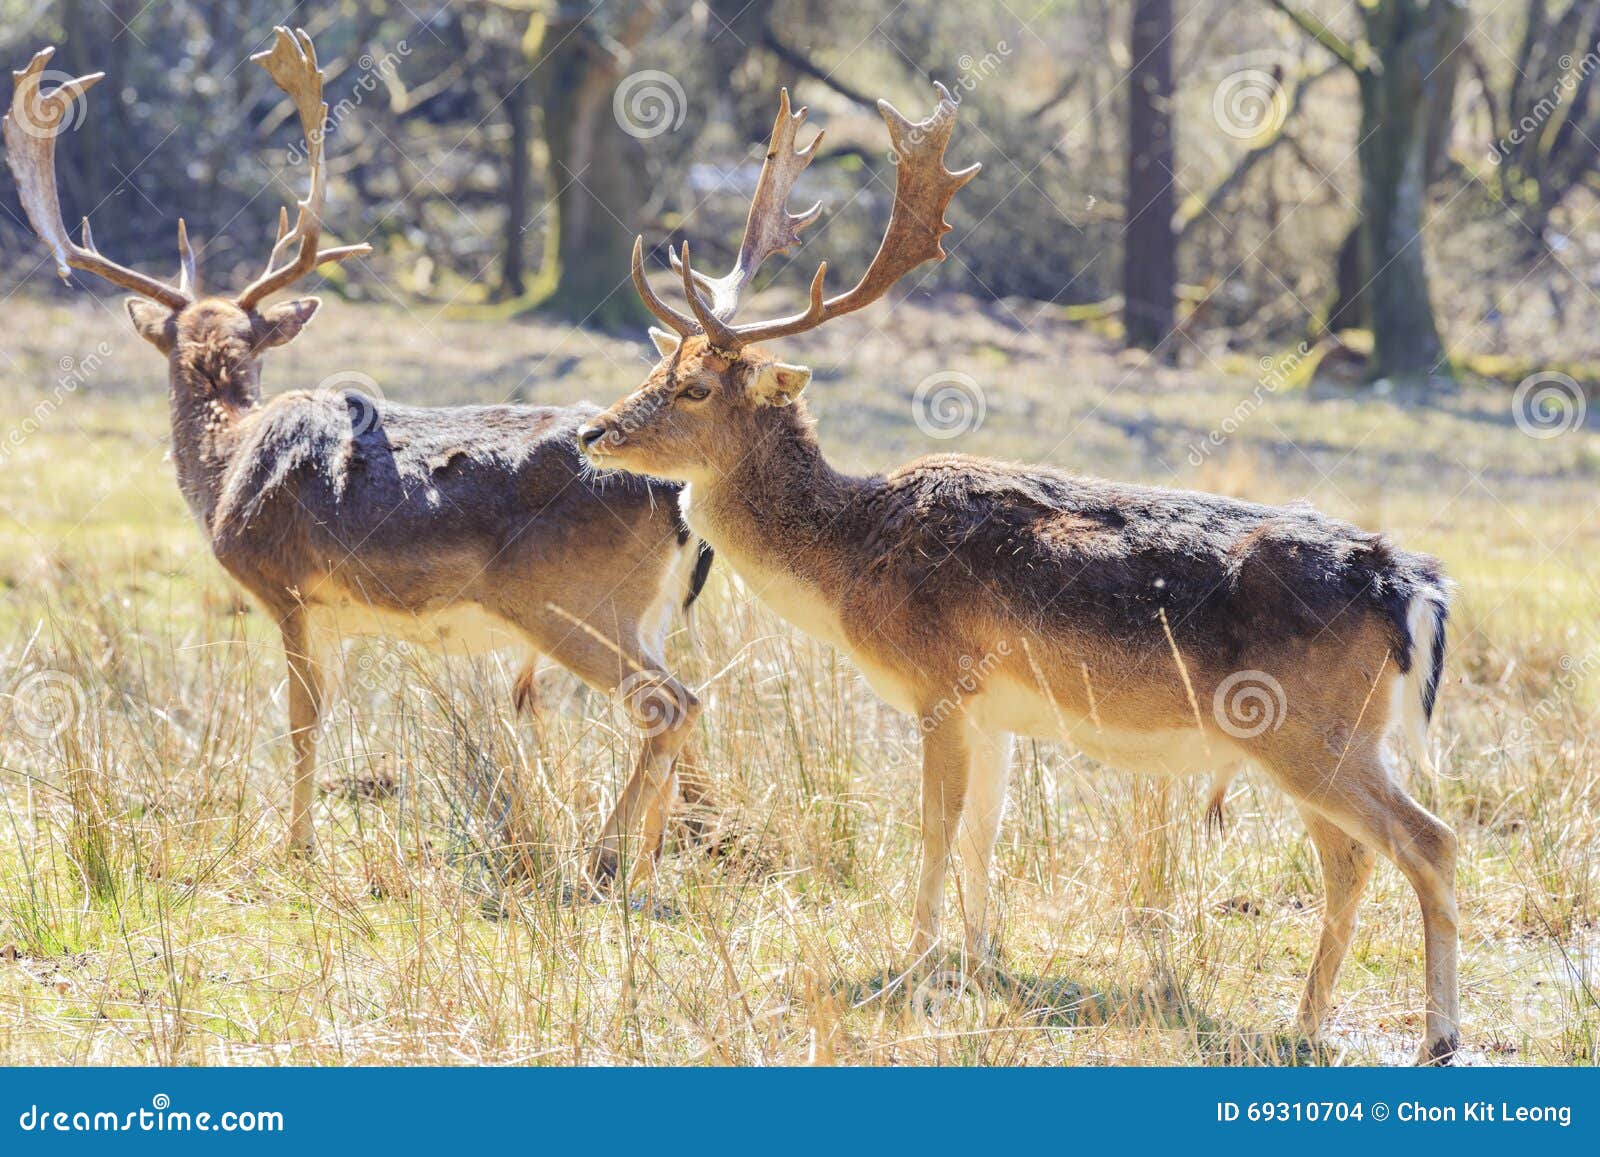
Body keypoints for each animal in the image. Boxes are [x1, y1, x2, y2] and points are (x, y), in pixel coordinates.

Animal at [4, 30, 714, 884]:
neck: (225, 472)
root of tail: (680, 499)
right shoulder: (336, 616)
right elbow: (319, 716)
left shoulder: (285, 589)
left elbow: (300, 721)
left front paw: (296, 847)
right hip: (646, 610)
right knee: (685, 708)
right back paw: (645, 864)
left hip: (570, 601)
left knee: (669, 703)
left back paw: (604, 859)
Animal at [578, 86, 1460, 1064]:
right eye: (655, 364)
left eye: (697, 388)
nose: (592, 433)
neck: (851, 559)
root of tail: (1413, 586)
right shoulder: (996, 709)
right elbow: (982, 836)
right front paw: (977, 960)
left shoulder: (940, 683)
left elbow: (935, 826)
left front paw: (913, 962)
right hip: (1331, 735)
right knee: (1354, 857)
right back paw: (1304, 1022)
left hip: (1310, 729)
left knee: (1427, 840)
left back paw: (1436, 1034)